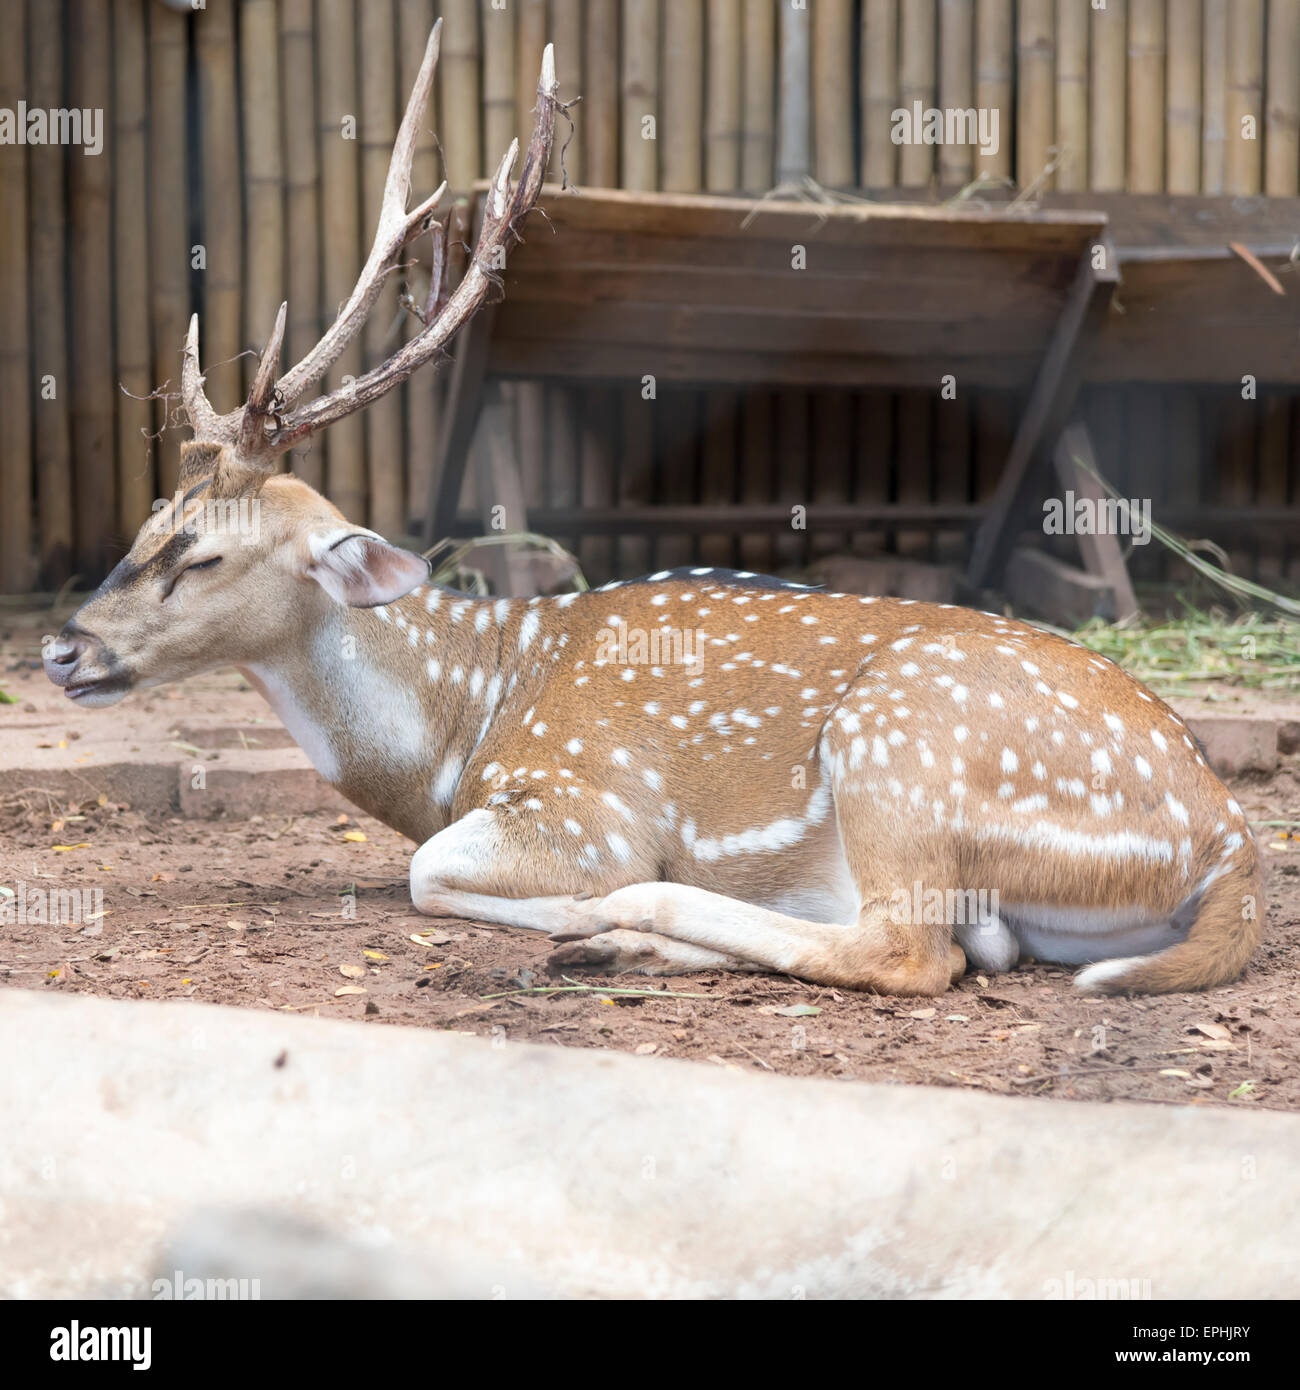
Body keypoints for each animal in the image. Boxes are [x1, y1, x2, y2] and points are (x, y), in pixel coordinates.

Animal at [42, 23, 1262, 999]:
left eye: (203, 555)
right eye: (148, 522)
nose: (62, 647)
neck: (461, 734)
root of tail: (1229, 843)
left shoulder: (585, 803)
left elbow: (429, 871)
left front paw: (579, 904)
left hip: (902, 745)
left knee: (915, 951)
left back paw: (620, 923)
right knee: (968, 945)